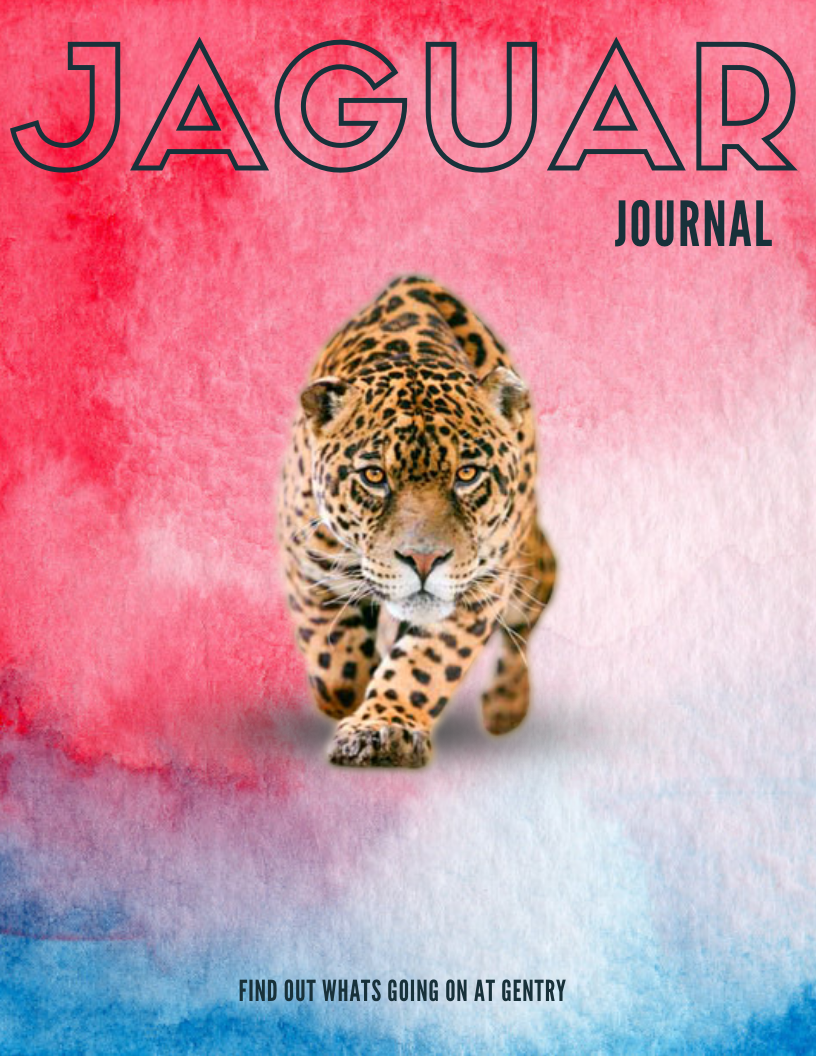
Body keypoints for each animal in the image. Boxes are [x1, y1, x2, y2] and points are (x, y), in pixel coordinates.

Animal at [277, 276, 556, 767]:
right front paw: (356, 694)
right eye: (374, 476)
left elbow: (425, 665)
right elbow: (335, 669)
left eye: (468, 474)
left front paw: (383, 727)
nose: (424, 561)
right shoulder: (308, 564)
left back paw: (506, 706)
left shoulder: (481, 589)